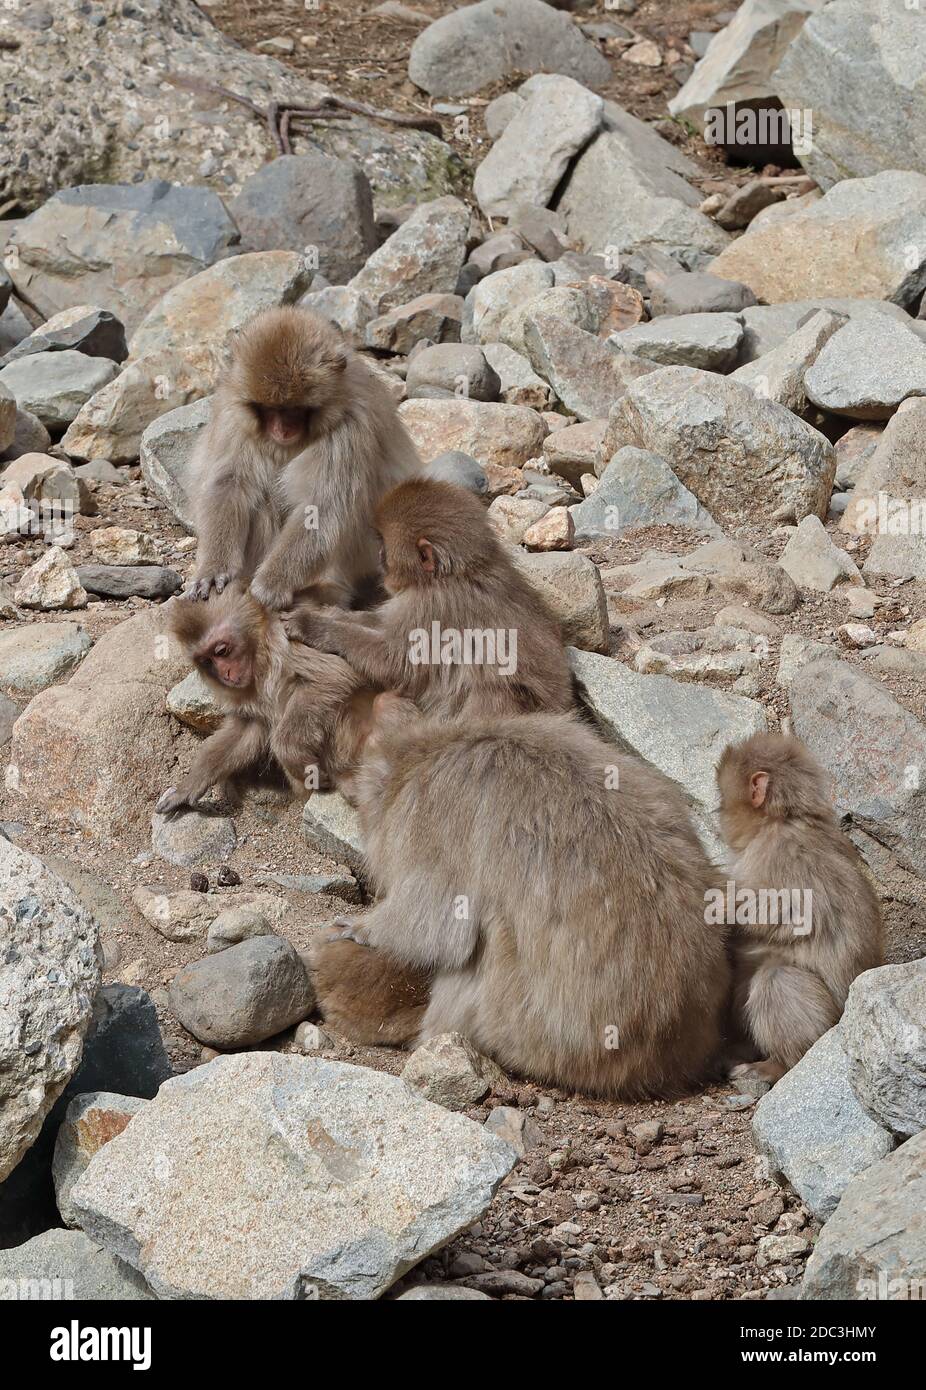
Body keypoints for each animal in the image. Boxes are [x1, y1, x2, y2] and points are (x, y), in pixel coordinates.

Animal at [156, 584, 379, 815]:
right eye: (206, 661)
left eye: (221, 651)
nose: (225, 675)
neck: (259, 653)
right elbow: (247, 727)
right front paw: (190, 786)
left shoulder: (282, 639)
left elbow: (334, 674)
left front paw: (290, 753)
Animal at [187, 306, 421, 609]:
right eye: (270, 408)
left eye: (295, 408)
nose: (283, 429)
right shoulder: (232, 416)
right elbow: (230, 484)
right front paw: (214, 568)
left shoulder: (350, 428)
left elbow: (322, 506)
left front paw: (271, 584)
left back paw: (328, 591)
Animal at [282, 478, 576, 720]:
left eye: (385, 547)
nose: (379, 557)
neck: (451, 575)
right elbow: (381, 624)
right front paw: (328, 614)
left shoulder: (431, 606)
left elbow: (395, 662)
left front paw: (312, 626)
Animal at [310, 695, 731, 1099]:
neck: (425, 751)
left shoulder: (430, 817)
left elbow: (435, 926)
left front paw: (358, 928)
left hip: (523, 1025)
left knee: (486, 938)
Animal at [716, 732, 884, 1087]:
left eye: (723, 798)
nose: (719, 816)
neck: (784, 819)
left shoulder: (779, 853)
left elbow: (790, 913)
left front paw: (720, 906)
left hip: (826, 1026)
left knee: (777, 978)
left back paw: (777, 1065)